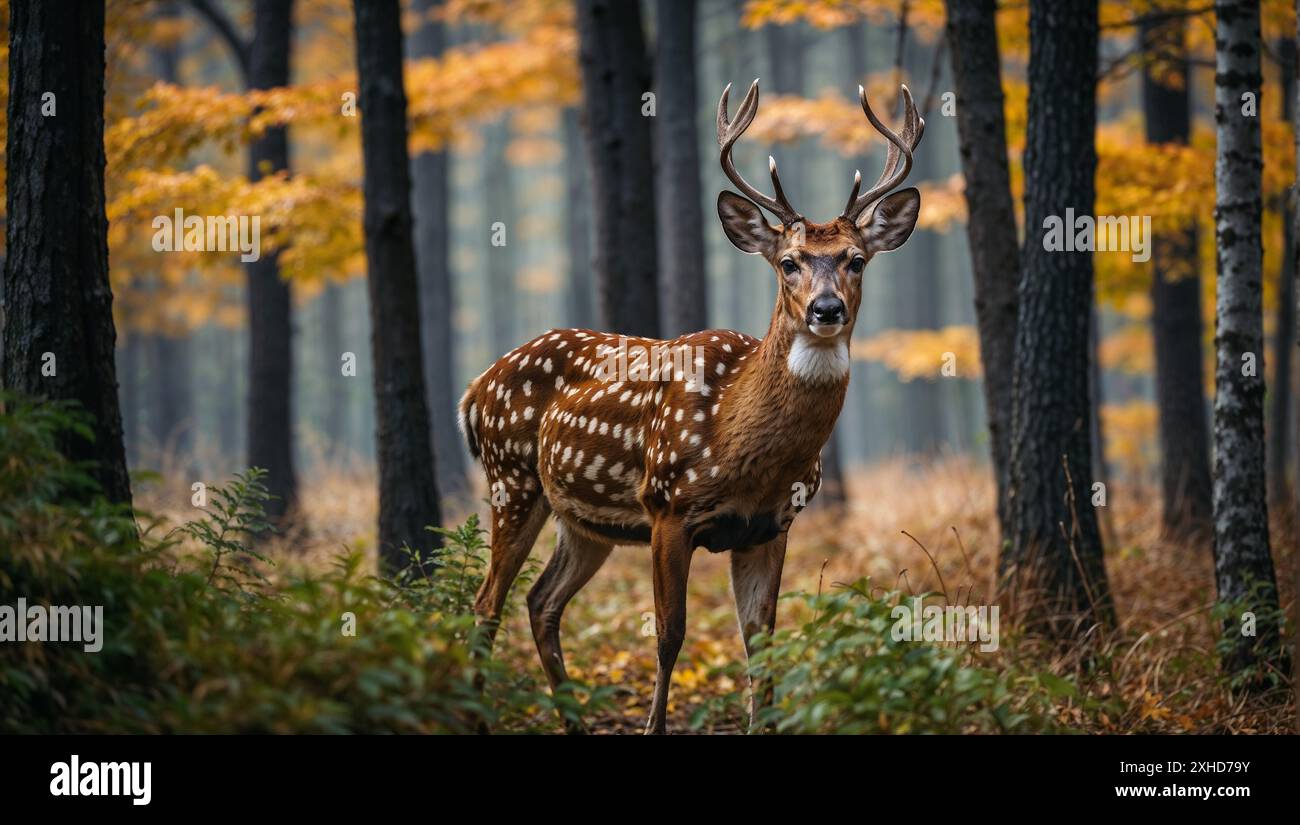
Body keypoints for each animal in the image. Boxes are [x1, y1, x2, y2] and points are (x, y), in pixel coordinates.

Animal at [458, 79, 924, 734]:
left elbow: (760, 640)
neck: (740, 444)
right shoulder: (666, 507)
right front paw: (654, 725)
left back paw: (572, 720)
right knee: (487, 601)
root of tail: (476, 387)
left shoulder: (772, 524)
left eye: (857, 260)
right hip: (512, 479)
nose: (826, 308)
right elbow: (669, 634)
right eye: (788, 262)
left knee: (540, 601)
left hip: (581, 518)